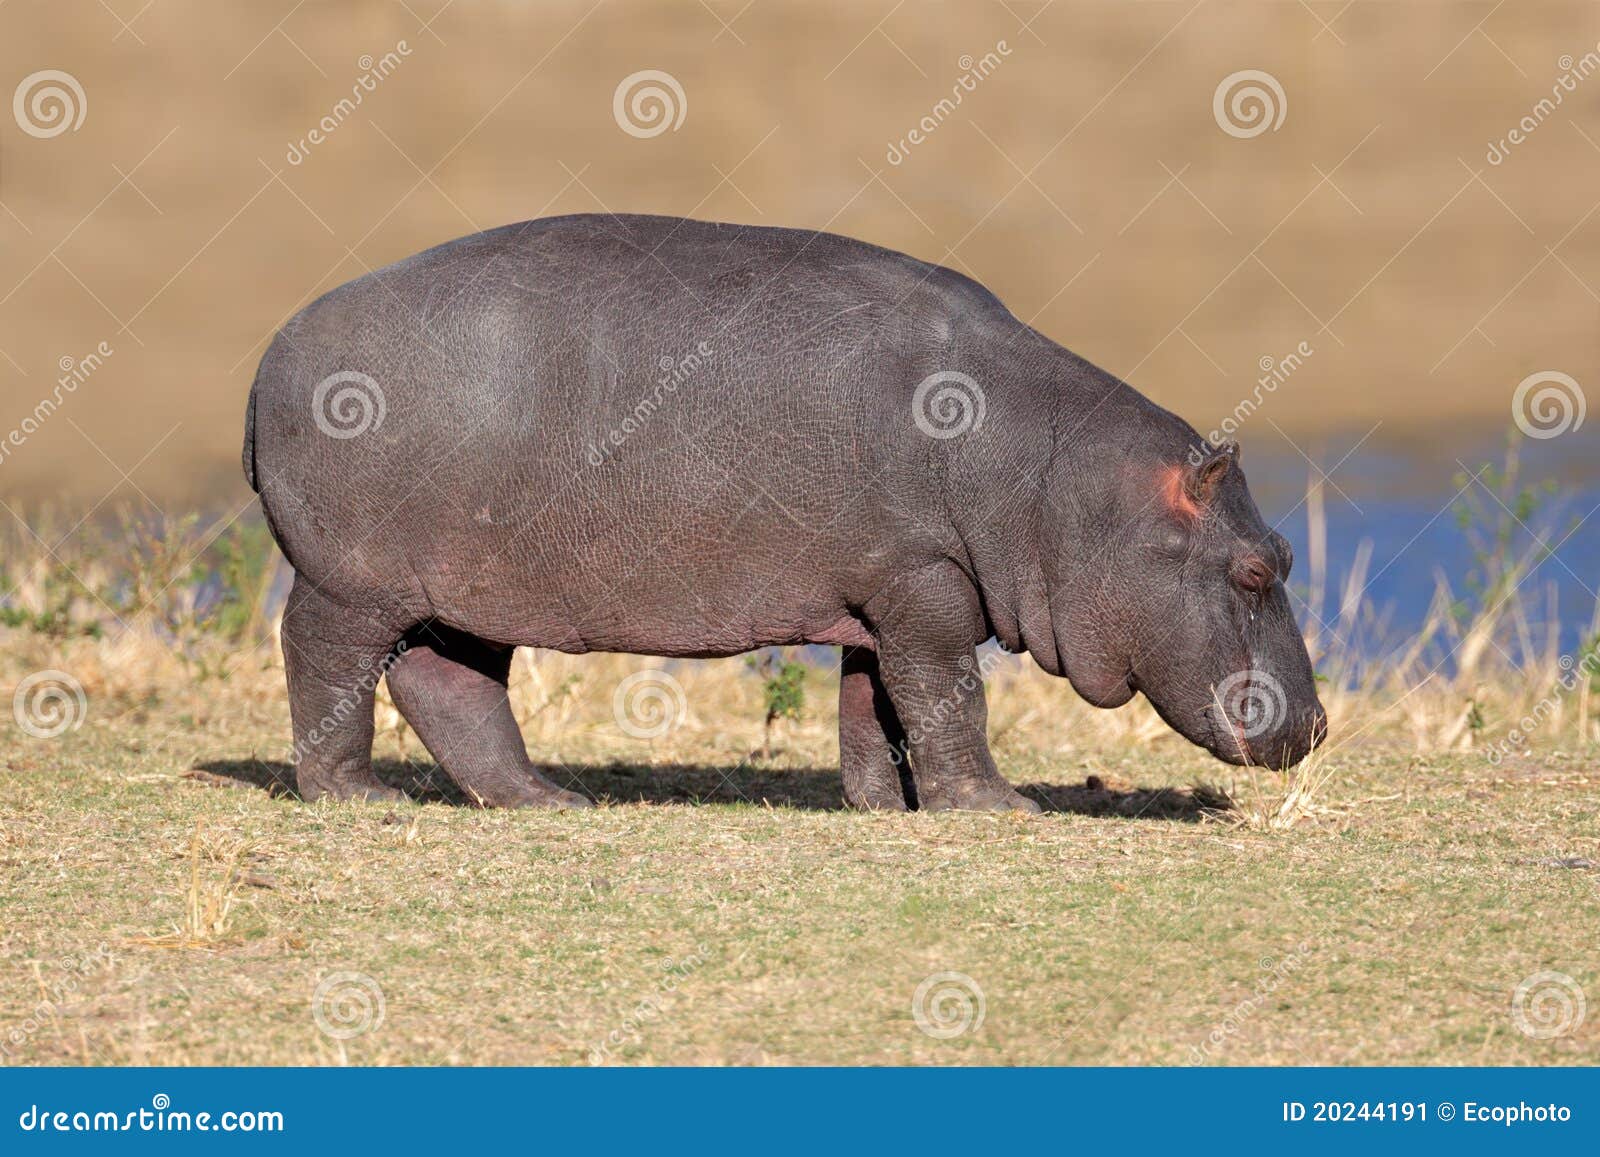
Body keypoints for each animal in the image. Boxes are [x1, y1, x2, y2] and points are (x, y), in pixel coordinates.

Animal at [244, 213, 1326, 812]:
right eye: (1253, 570)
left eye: (1283, 550)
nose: (1316, 724)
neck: (1057, 480)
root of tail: (269, 353)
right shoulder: (925, 580)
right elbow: (945, 696)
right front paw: (1000, 807)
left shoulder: (888, 588)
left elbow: (874, 704)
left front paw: (887, 808)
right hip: (352, 580)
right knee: (324, 661)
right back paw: (358, 792)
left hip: (462, 586)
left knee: (452, 683)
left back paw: (554, 800)